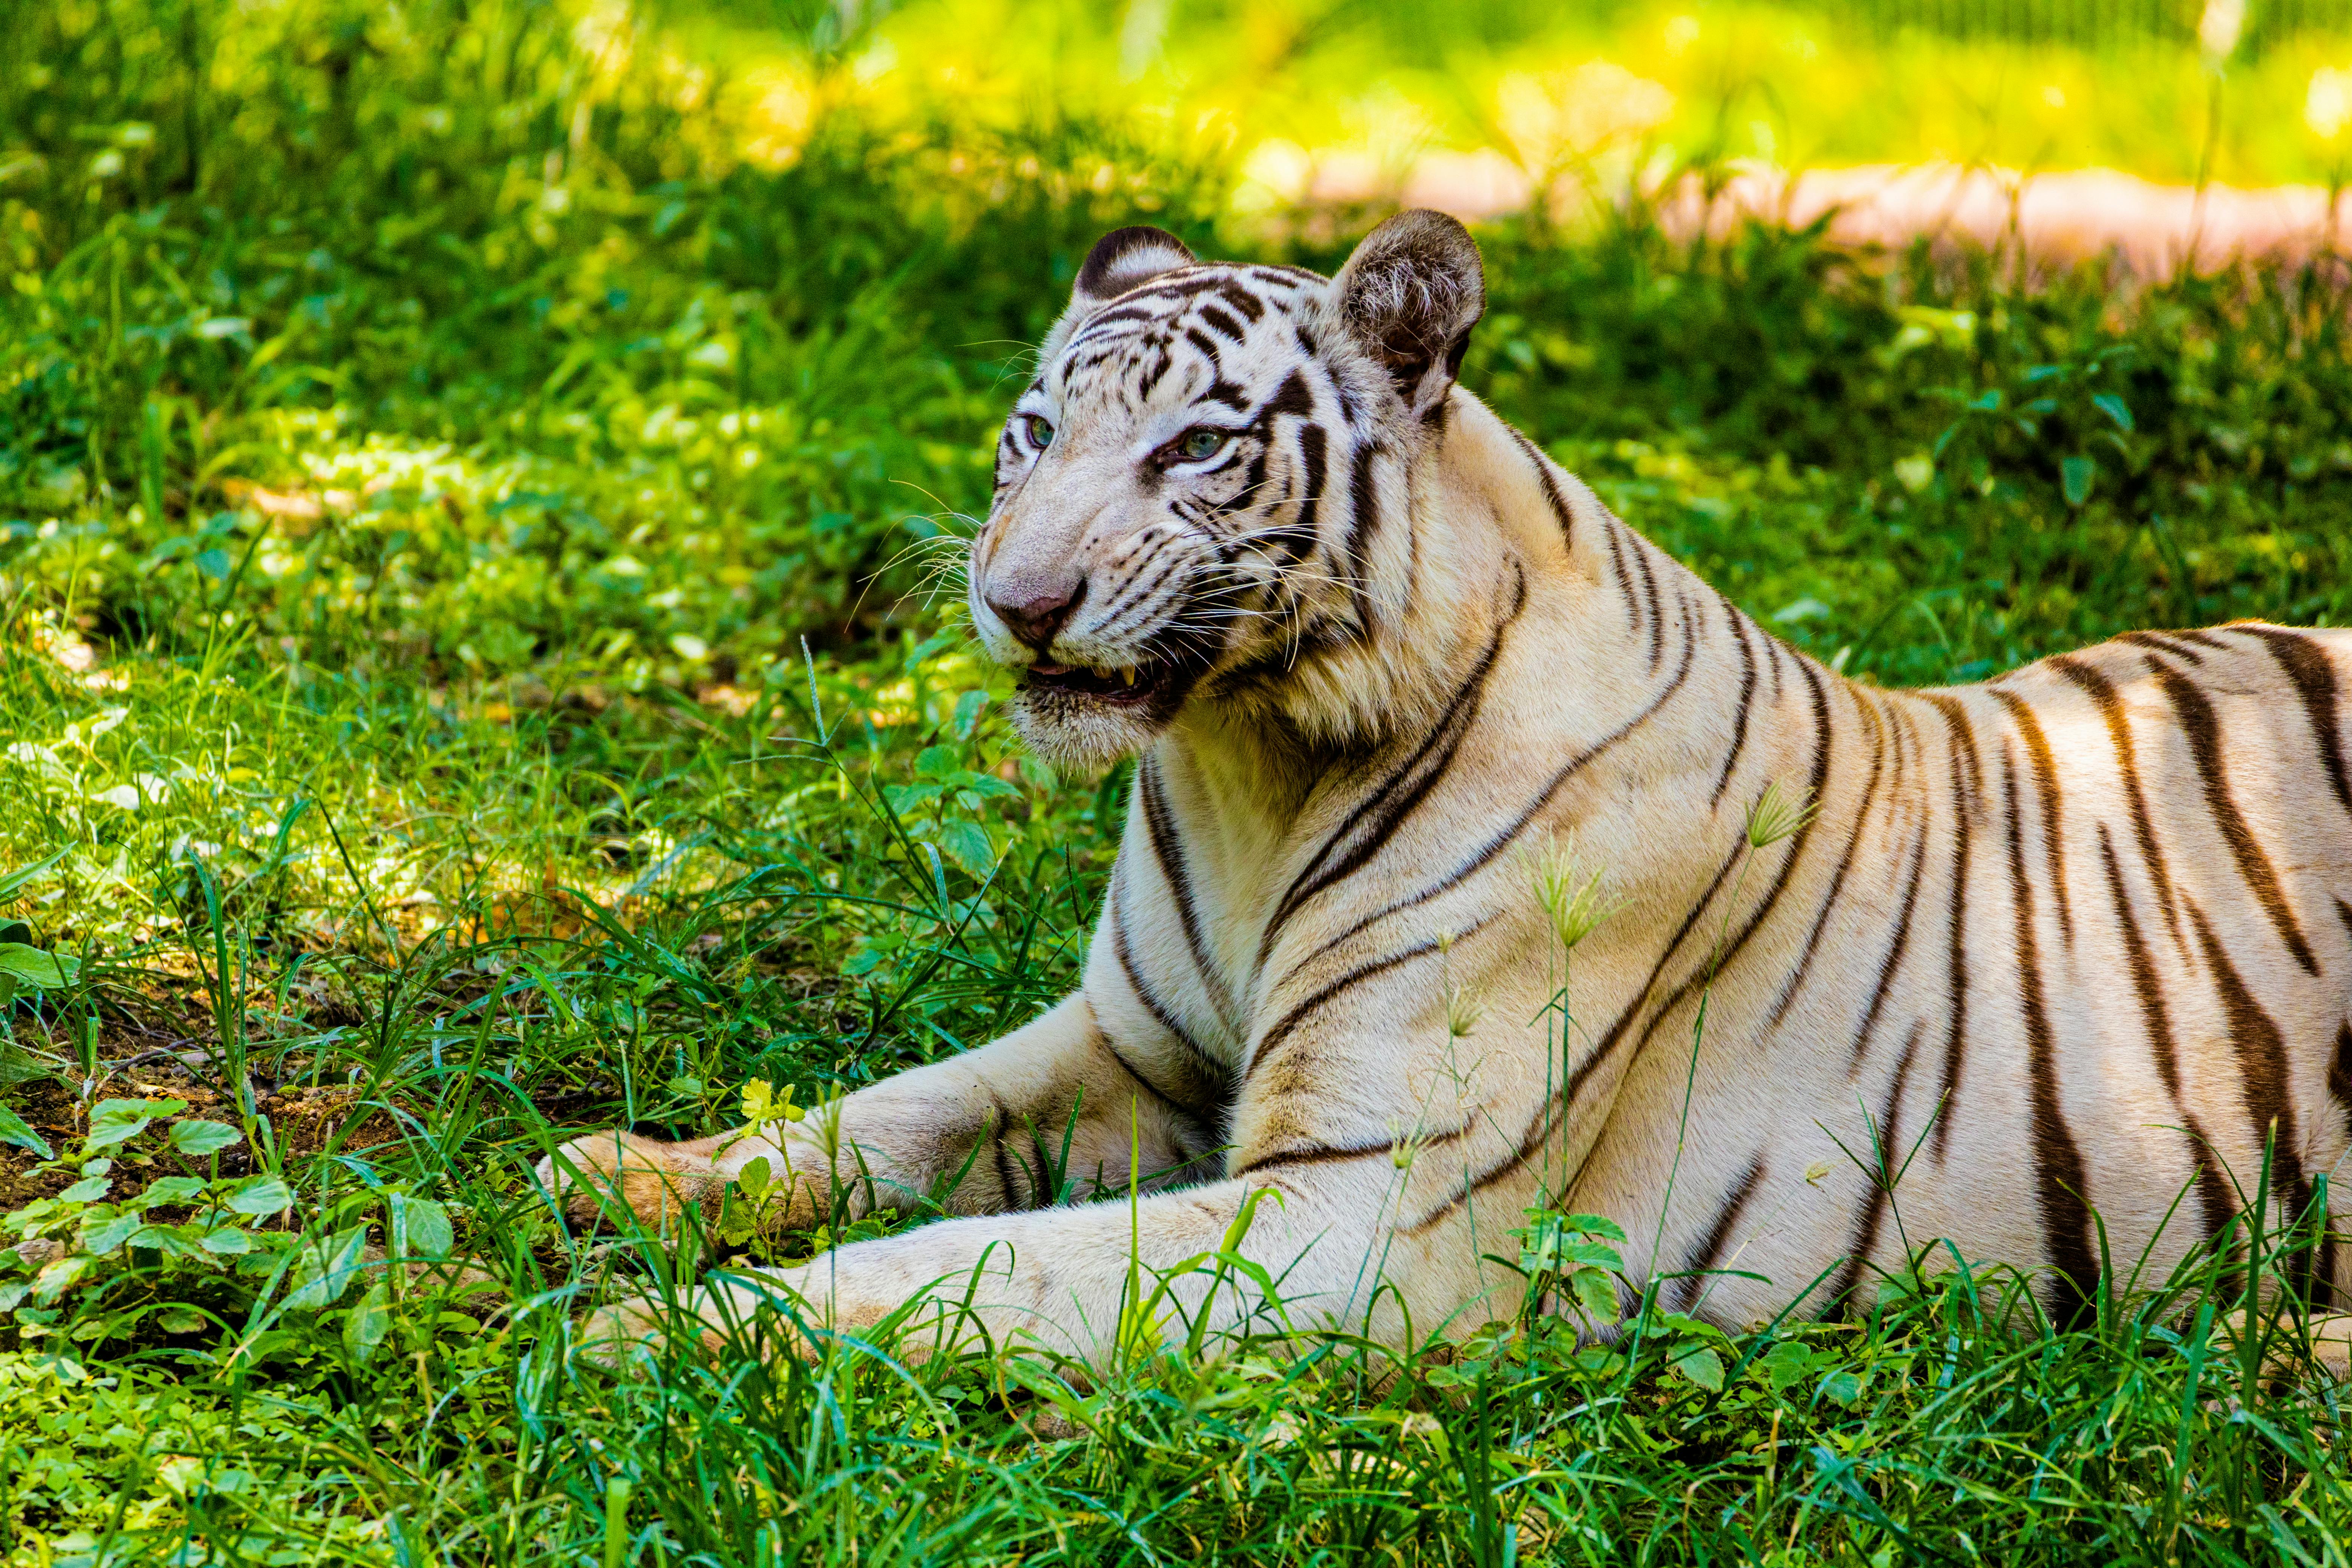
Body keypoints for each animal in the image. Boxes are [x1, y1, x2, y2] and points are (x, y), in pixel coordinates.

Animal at [541, 211, 2352, 1372]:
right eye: (1035, 431)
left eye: (1197, 449)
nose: (1019, 597)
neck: (1247, 761)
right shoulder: (1136, 1051)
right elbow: (892, 1117)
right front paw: (629, 1181)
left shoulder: (1358, 1212)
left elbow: (961, 1263)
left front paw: (668, 1329)